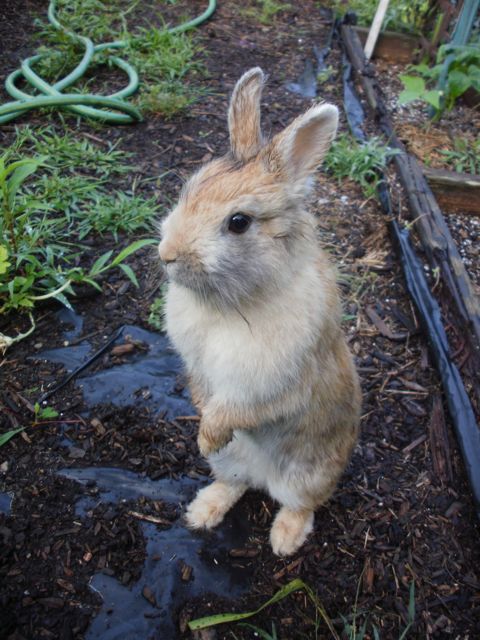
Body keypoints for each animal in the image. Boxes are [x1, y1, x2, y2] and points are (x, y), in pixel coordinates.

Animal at [158, 67, 361, 556]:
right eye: (188, 189)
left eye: (238, 222)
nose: (167, 255)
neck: (233, 303)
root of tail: (266, 478)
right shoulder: (200, 368)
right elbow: (205, 393)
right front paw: (201, 423)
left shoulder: (268, 386)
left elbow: (236, 410)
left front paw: (205, 434)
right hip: (234, 464)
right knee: (235, 484)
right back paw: (201, 512)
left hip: (308, 474)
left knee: (302, 504)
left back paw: (284, 541)